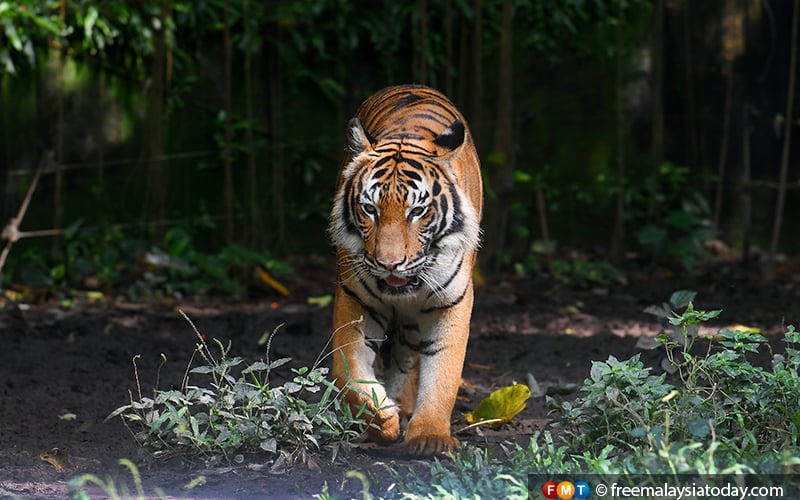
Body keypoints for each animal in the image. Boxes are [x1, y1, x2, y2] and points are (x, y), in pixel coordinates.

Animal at [328, 84, 483, 455]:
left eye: (417, 211)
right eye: (369, 209)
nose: (389, 263)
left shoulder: (452, 302)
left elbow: (443, 372)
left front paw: (430, 436)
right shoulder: (354, 298)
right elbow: (347, 371)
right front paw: (381, 421)